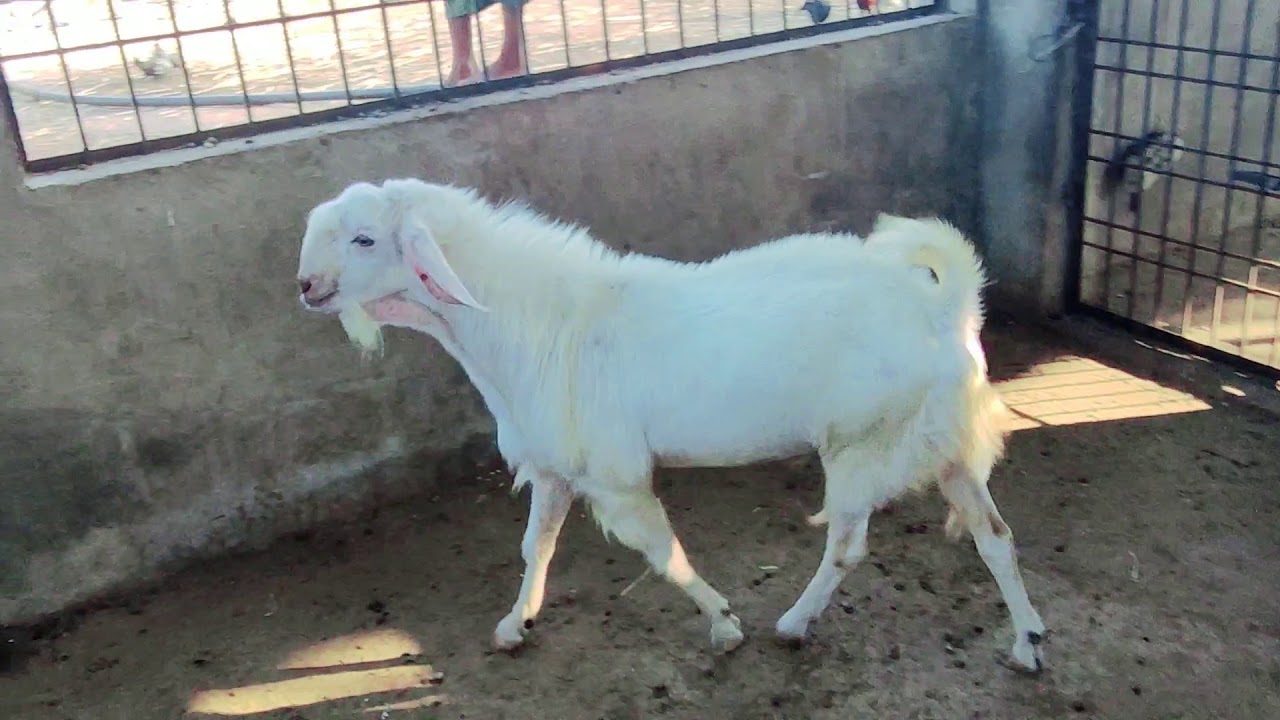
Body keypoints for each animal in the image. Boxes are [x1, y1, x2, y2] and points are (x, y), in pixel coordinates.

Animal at [294, 178, 1048, 673]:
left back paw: (793, 623)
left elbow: (664, 554)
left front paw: (724, 624)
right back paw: (1028, 642)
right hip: (943, 444)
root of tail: (947, 307)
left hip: (863, 439)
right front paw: (516, 623)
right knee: (996, 536)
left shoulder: (614, 475)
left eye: (364, 238)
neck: (535, 323)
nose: (306, 287)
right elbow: (535, 547)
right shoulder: (557, 468)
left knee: (847, 545)